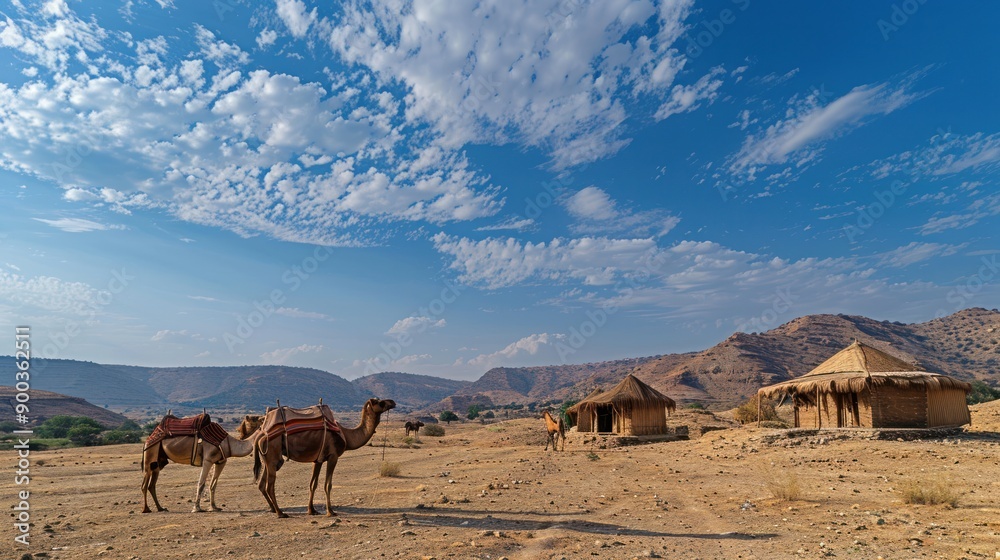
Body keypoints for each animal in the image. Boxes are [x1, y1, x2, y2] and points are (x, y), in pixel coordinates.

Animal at [254, 398, 396, 518]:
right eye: (381, 402)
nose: (393, 402)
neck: (346, 435)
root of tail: (261, 434)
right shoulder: (333, 456)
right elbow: (328, 484)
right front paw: (330, 511)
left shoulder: (318, 460)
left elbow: (313, 484)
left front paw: (312, 510)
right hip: (272, 454)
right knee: (269, 485)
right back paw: (280, 513)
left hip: (268, 459)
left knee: (262, 484)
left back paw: (273, 509)